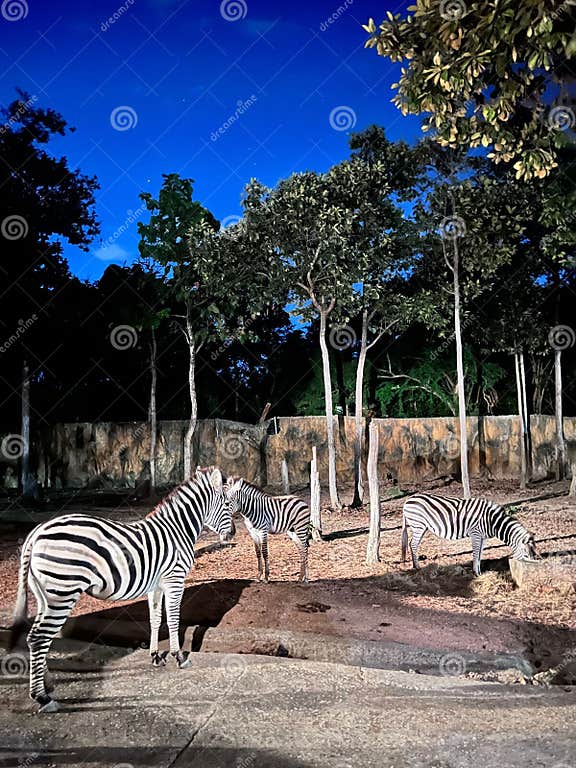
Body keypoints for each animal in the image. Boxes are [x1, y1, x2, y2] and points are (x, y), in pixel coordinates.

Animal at [9, 466, 234, 713]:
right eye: (227, 504)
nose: (233, 534)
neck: (177, 530)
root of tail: (37, 532)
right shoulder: (175, 580)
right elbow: (174, 620)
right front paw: (179, 657)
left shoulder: (156, 585)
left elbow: (156, 620)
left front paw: (156, 656)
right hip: (62, 592)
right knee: (40, 637)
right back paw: (42, 697)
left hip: (46, 595)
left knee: (35, 637)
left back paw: (47, 685)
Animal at [401, 492, 538, 576]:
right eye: (526, 554)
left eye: (534, 554)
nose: (531, 572)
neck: (492, 521)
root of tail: (408, 499)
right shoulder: (476, 533)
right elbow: (476, 553)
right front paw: (476, 573)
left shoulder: (483, 537)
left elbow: (480, 554)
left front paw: (479, 572)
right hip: (418, 525)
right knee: (413, 544)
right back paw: (417, 567)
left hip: (421, 526)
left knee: (411, 543)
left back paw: (414, 565)